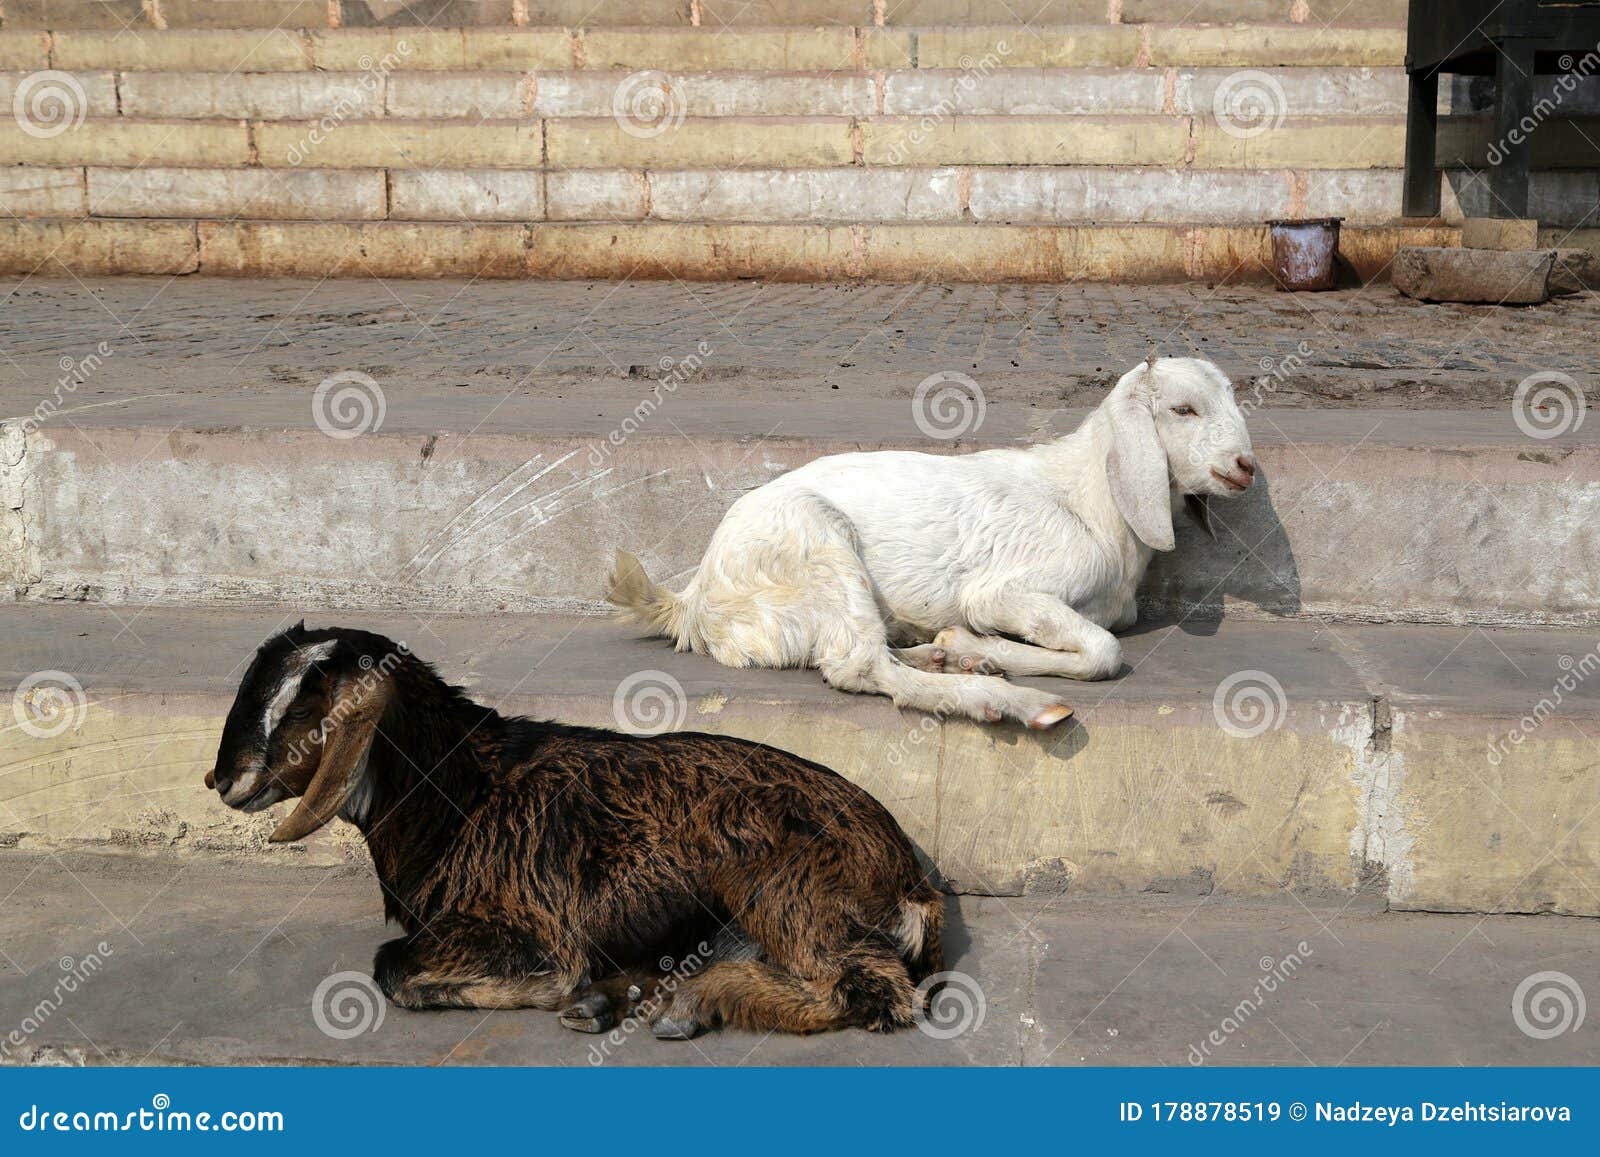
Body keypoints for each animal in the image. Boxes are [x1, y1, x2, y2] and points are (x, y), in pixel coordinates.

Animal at [205, 624, 945, 1041]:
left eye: (303, 705)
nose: (220, 778)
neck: (463, 795)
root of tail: (910, 875)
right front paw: (604, 993)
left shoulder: (528, 926)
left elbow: (394, 966)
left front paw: (565, 990)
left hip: (783, 890)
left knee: (872, 990)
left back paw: (687, 1001)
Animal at [608, 356, 1255, 728]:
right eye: (1183, 409)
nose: (1245, 467)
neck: (1091, 499)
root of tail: (696, 598)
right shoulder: (1006, 591)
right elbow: (1103, 650)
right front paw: (978, 647)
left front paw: (969, 647)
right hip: (819, 546)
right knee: (858, 664)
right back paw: (1007, 700)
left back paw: (943, 656)